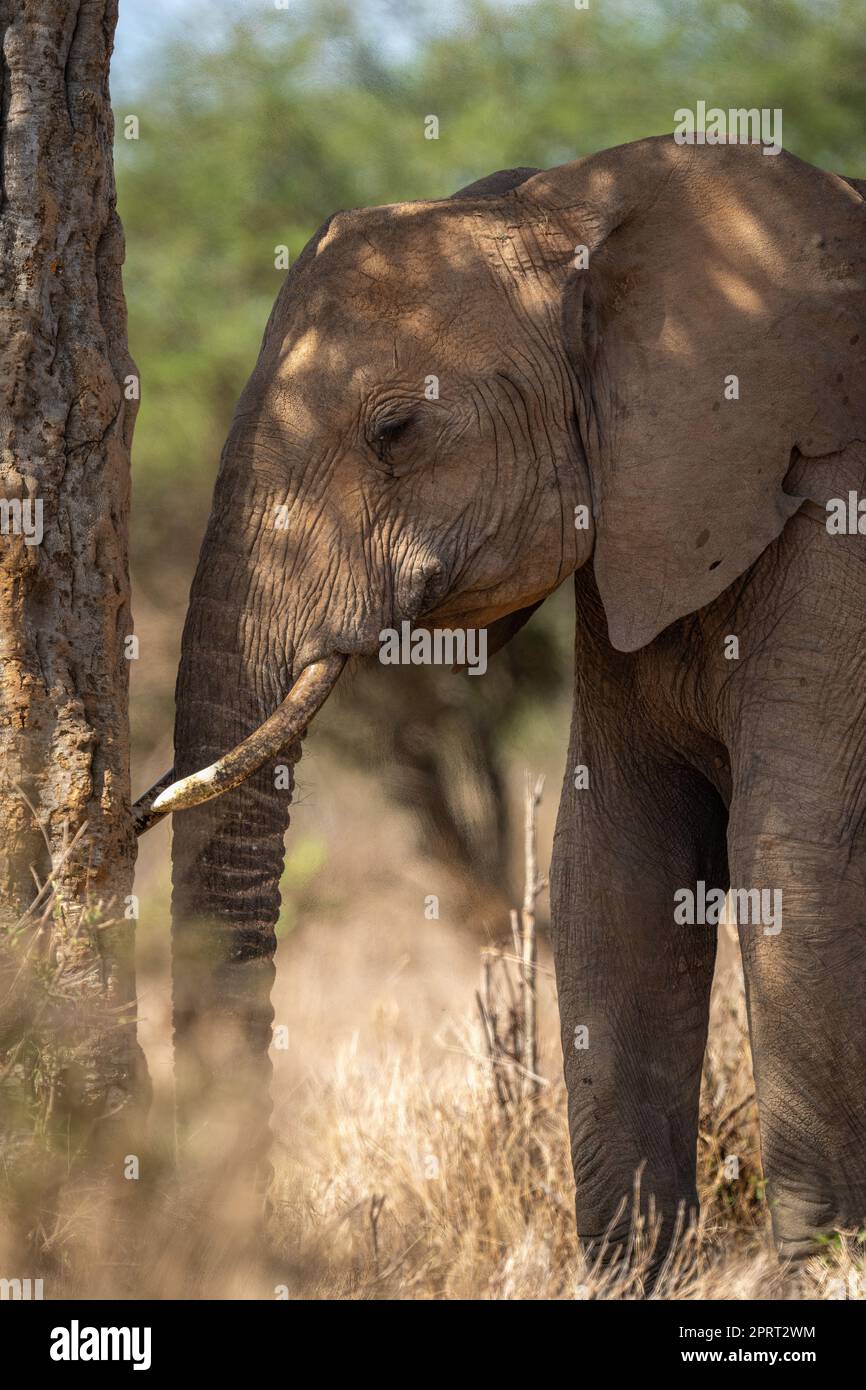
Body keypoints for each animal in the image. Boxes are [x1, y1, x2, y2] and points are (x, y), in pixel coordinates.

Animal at [135, 134, 866, 1267]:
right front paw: (633, 1272)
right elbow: (612, 859)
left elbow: (789, 855)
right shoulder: (637, 523)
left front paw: (817, 1268)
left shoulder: (839, 518)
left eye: (396, 429)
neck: (579, 206)